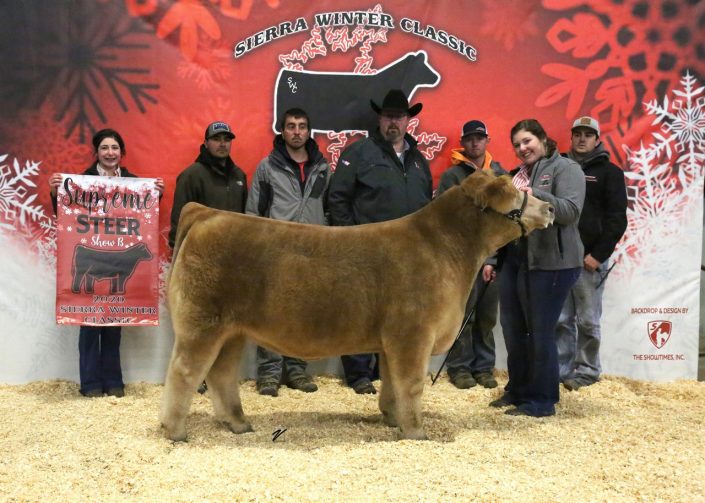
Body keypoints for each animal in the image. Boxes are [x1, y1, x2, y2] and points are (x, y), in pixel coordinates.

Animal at [160, 171, 554, 441]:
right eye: (516, 197)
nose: (551, 207)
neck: (446, 247)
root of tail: (208, 214)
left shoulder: (393, 341)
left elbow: (393, 383)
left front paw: (393, 419)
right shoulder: (413, 333)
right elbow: (412, 383)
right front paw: (417, 432)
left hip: (232, 331)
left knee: (220, 374)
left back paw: (238, 423)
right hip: (202, 325)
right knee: (184, 372)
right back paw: (175, 431)